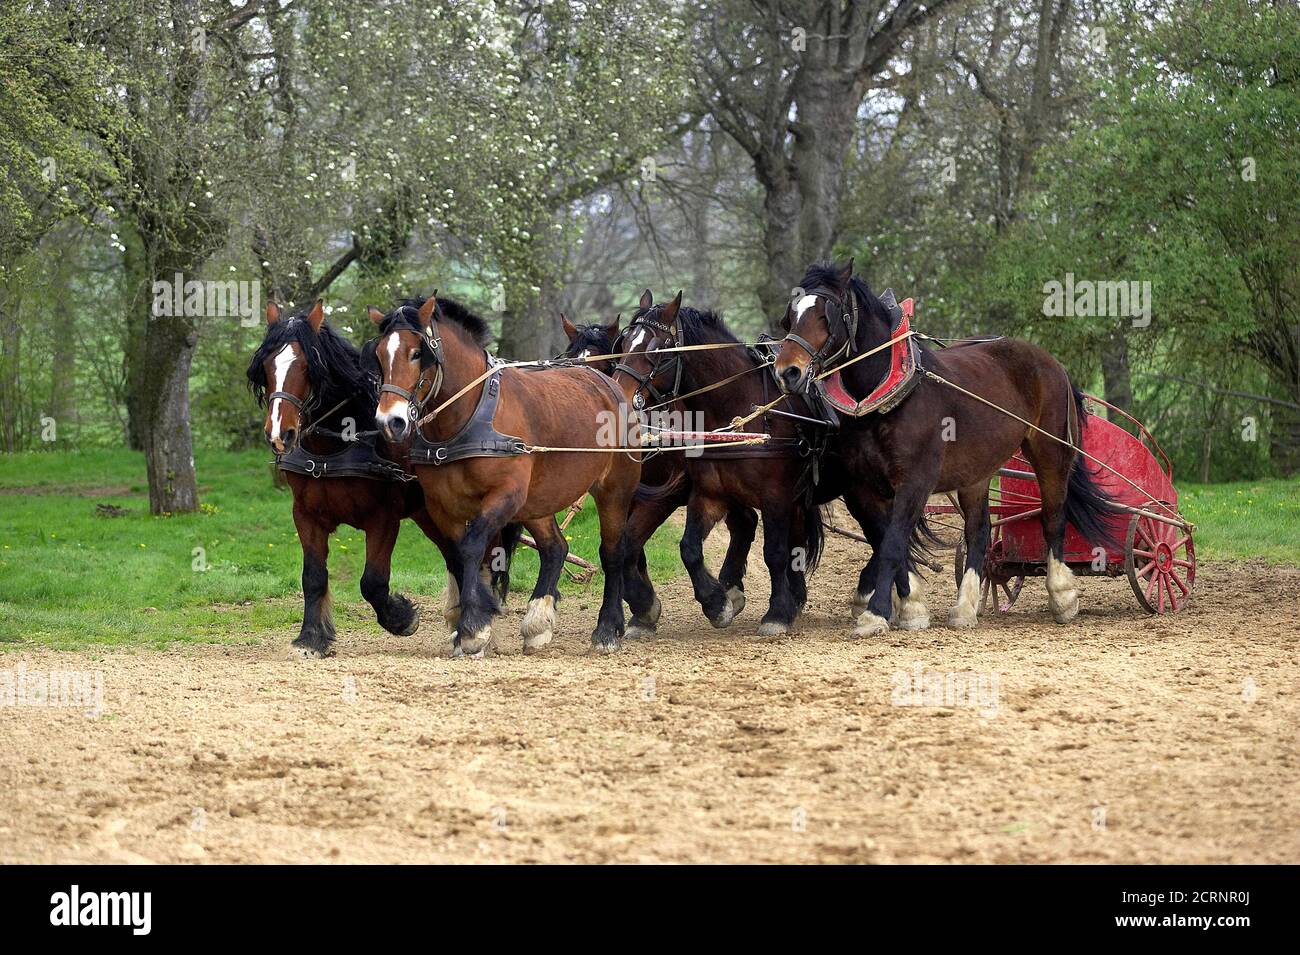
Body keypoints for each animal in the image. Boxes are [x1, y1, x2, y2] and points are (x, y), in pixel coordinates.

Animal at [247, 300, 450, 658]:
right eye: (267, 367)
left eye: (307, 366)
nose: (279, 434)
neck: (337, 446)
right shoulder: (306, 515)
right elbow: (313, 577)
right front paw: (311, 638)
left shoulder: (383, 519)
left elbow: (372, 582)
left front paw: (401, 617)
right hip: (427, 514)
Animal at [370, 295, 641, 655]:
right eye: (378, 355)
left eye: (417, 353)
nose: (391, 421)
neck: (466, 419)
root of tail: (606, 383)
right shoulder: (442, 506)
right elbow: (458, 555)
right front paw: (471, 623)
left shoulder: (504, 495)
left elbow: (472, 548)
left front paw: (473, 626)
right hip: (537, 499)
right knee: (554, 547)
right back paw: (538, 623)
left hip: (614, 489)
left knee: (612, 551)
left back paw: (608, 629)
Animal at [560, 307, 761, 635]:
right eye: (568, 365)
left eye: (604, 368)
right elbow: (627, 550)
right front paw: (640, 609)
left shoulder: (666, 495)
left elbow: (629, 546)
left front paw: (646, 606)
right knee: (745, 521)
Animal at [772, 260, 1118, 636]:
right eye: (790, 316)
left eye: (826, 314)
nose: (787, 372)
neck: (885, 397)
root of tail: (1051, 363)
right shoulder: (864, 488)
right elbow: (887, 541)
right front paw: (910, 607)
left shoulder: (915, 482)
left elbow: (893, 544)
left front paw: (876, 614)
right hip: (976, 474)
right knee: (978, 533)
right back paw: (965, 608)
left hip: (1050, 452)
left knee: (1053, 517)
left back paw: (1062, 596)